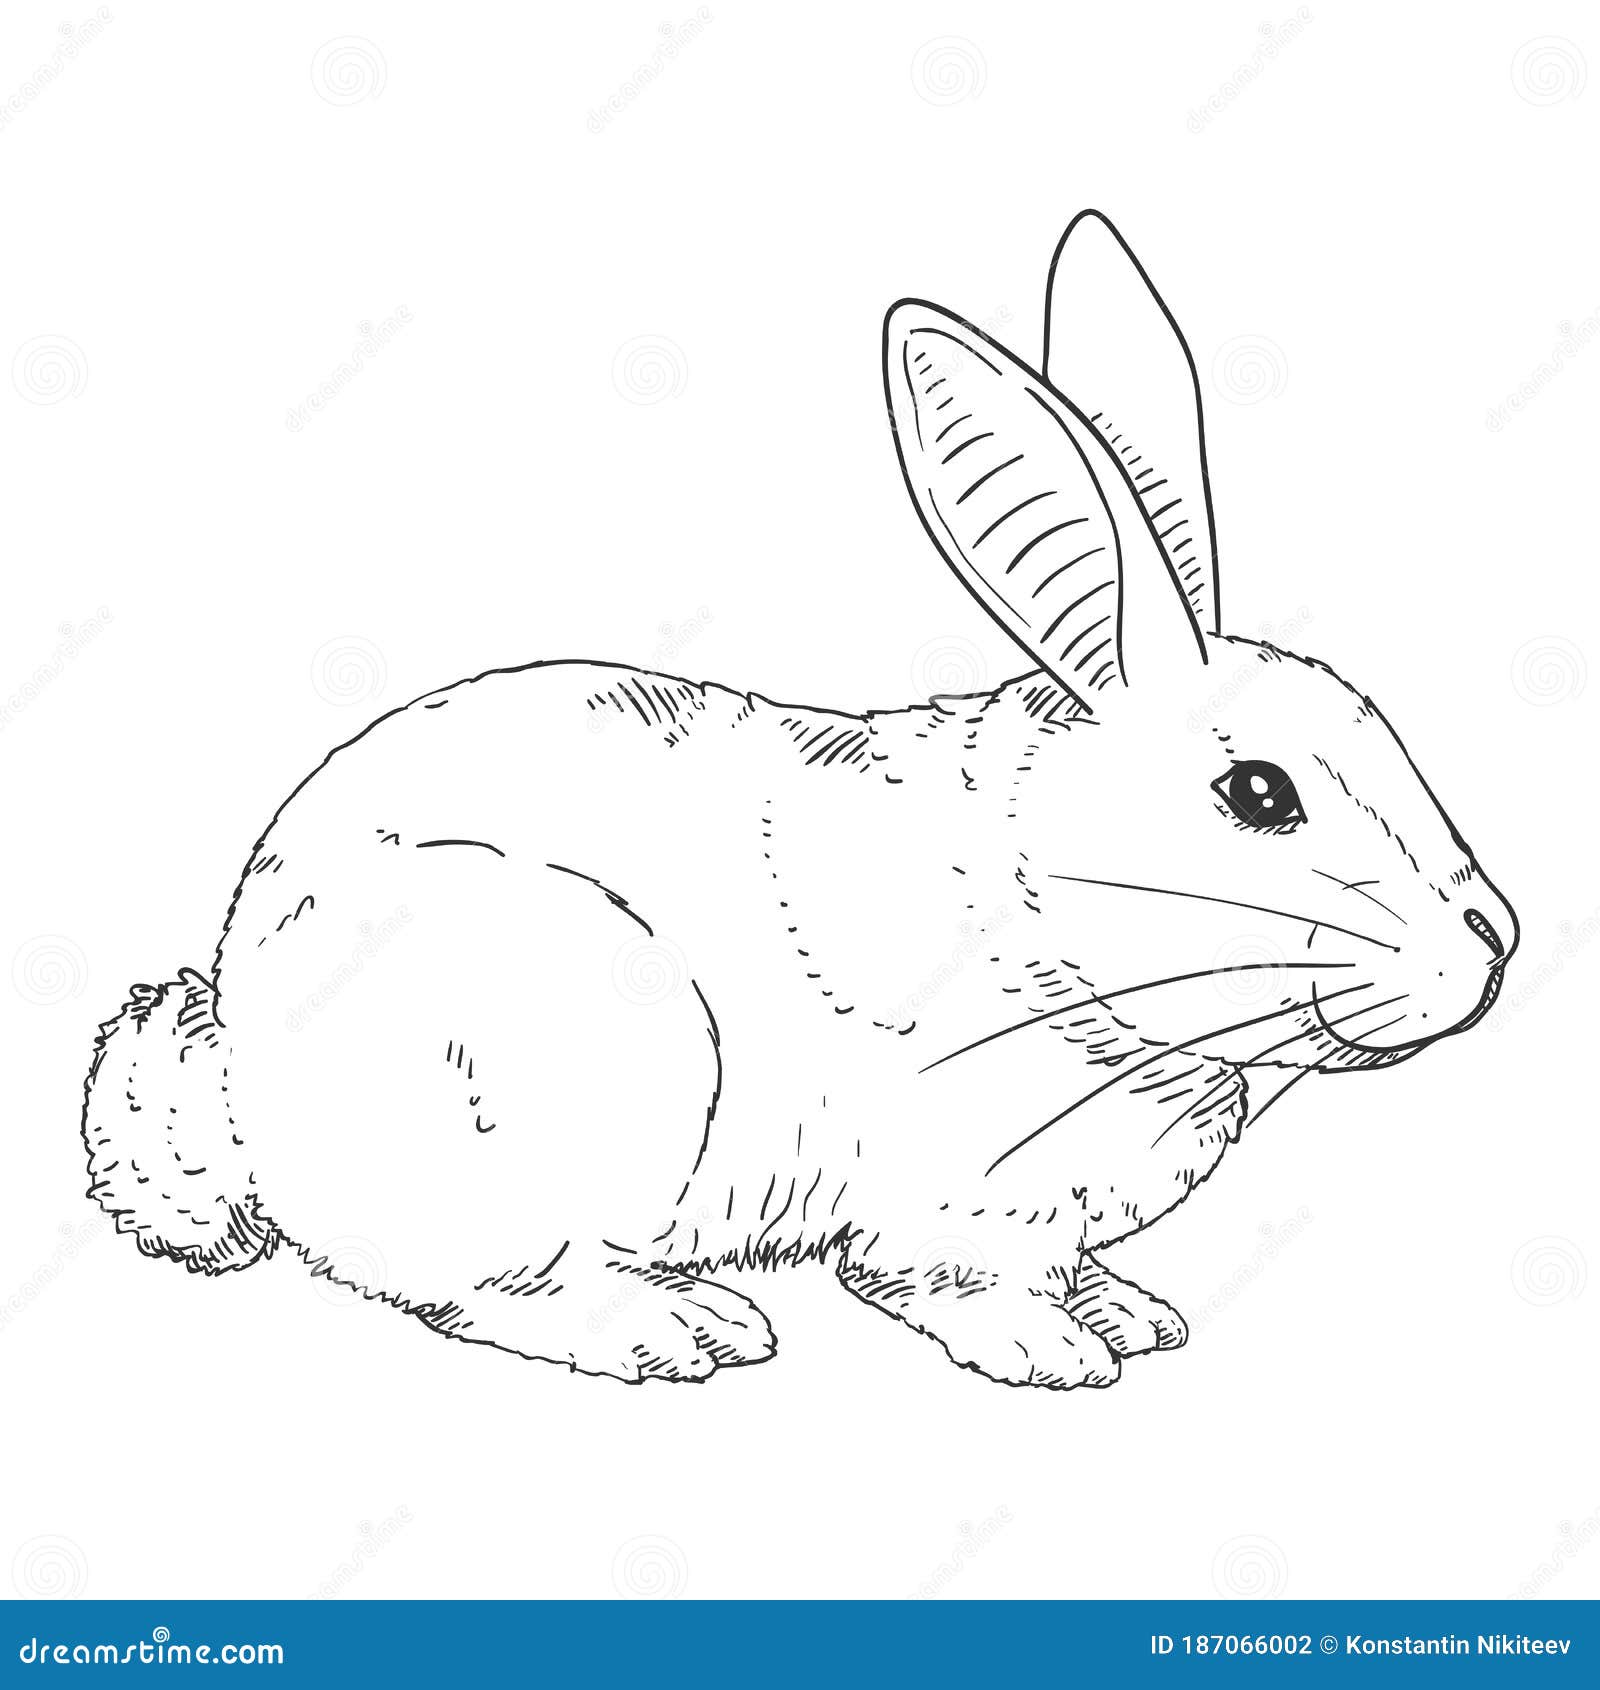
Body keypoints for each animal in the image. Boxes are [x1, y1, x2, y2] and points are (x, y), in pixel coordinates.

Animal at [81, 211, 1516, 1390]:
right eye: (1258, 792)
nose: (1492, 941)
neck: (1041, 911)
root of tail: (241, 1098)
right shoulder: (956, 1195)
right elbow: (936, 1280)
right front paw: (1053, 1351)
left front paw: (1127, 1312)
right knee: (476, 1282)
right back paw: (679, 1327)